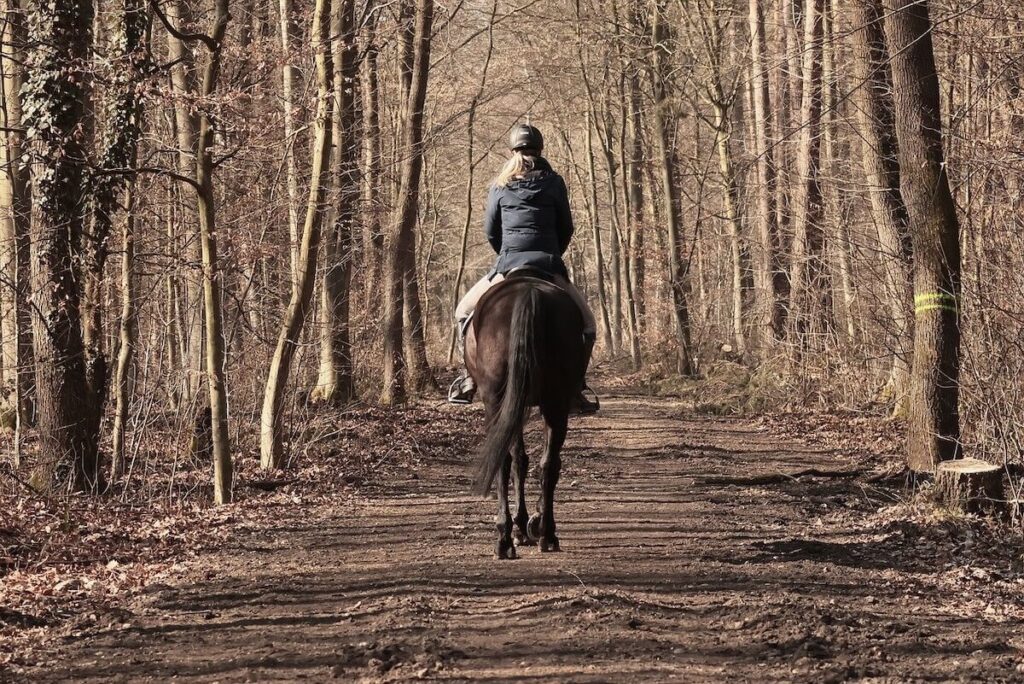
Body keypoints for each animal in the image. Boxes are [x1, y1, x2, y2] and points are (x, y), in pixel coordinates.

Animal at [466, 268, 588, 559]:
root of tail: (529, 291)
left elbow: (517, 460)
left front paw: (521, 527)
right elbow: (524, 460)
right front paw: (529, 523)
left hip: (499, 400)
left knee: (506, 459)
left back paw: (506, 539)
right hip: (555, 401)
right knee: (549, 463)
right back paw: (547, 535)